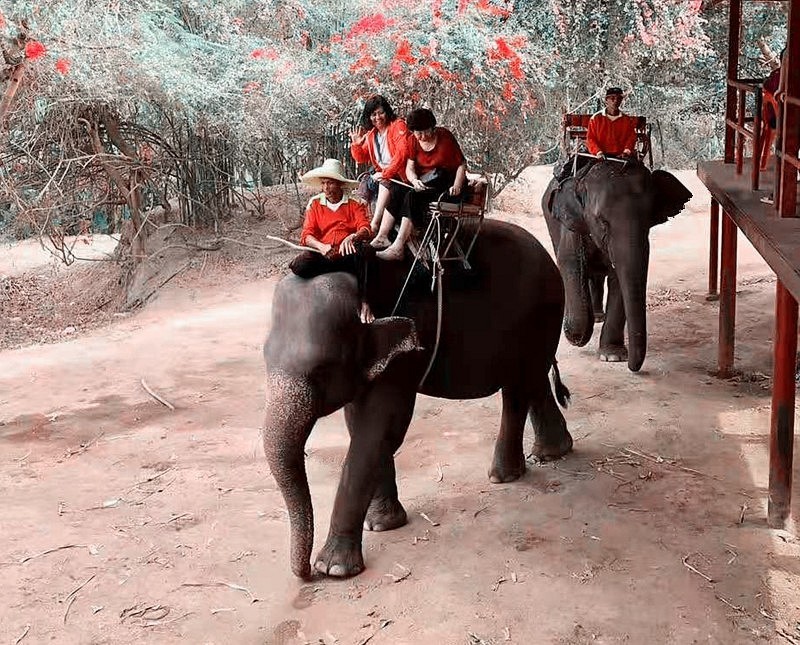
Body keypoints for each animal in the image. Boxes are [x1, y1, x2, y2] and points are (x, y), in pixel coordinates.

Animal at [262, 219, 572, 579]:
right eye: (264, 358)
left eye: (323, 369)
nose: (304, 573)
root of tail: (548, 257)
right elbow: (361, 424)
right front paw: (382, 524)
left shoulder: (407, 350)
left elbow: (378, 427)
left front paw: (334, 568)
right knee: (531, 379)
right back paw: (549, 453)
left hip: (541, 314)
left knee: (518, 388)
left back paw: (505, 474)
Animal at [542, 160, 692, 372]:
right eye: (602, 222)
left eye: (649, 221)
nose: (632, 367)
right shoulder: (570, 226)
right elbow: (569, 262)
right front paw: (575, 335)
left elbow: (619, 277)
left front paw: (613, 356)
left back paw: (597, 316)